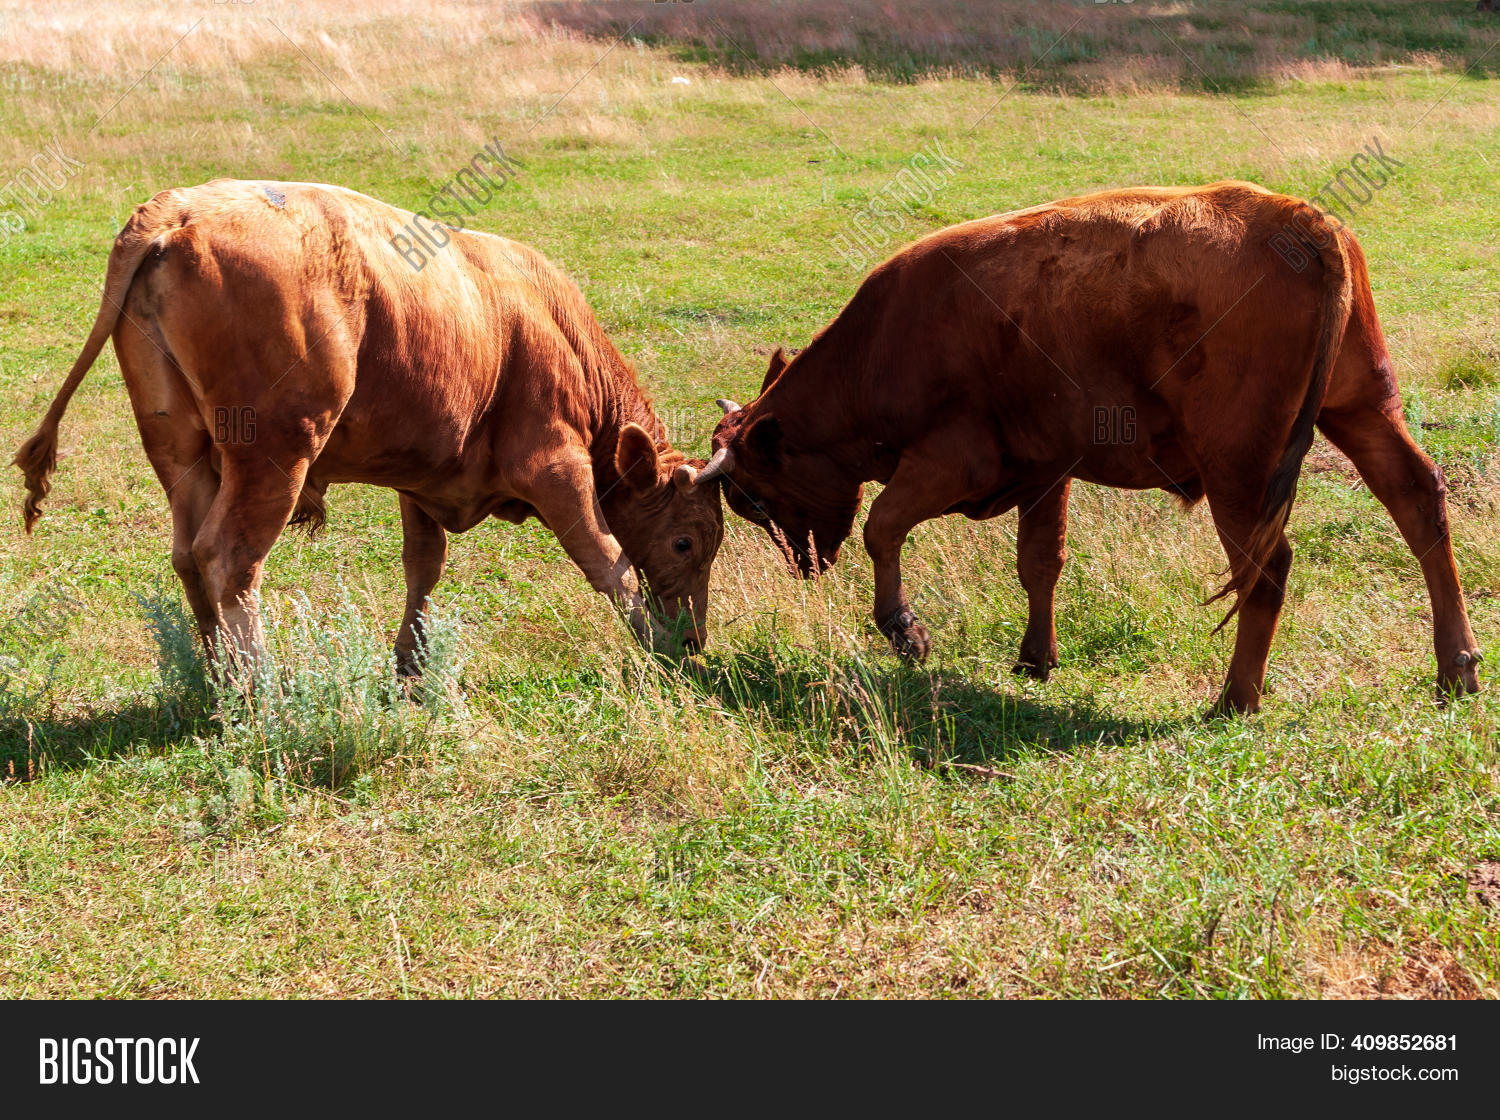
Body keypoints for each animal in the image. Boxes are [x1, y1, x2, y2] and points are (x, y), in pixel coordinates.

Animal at [15, 179, 724, 673]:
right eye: (686, 541)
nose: (693, 642)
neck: (546, 324)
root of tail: (176, 209)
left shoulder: (424, 478)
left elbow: (423, 567)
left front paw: (408, 666)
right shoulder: (554, 464)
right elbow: (608, 561)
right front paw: (653, 652)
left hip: (179, 450)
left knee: (188, 553)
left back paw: (218, 682)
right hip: (274, 453)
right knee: (230, 558)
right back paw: (259, 690)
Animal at [688, 181, 1482, 714]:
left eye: (750, 496)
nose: (805, 565)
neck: (889, 339)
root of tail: (1299, 217)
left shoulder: (952, 462)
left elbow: (884, 528)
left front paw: (905, 631)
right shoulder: (1046, 468)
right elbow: (1040, 563)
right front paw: (1036, 657)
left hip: (1241, 472)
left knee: (1267, 568)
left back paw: (1234, 697)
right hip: (1363, 409)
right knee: (1419, 502)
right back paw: (1457, 666)